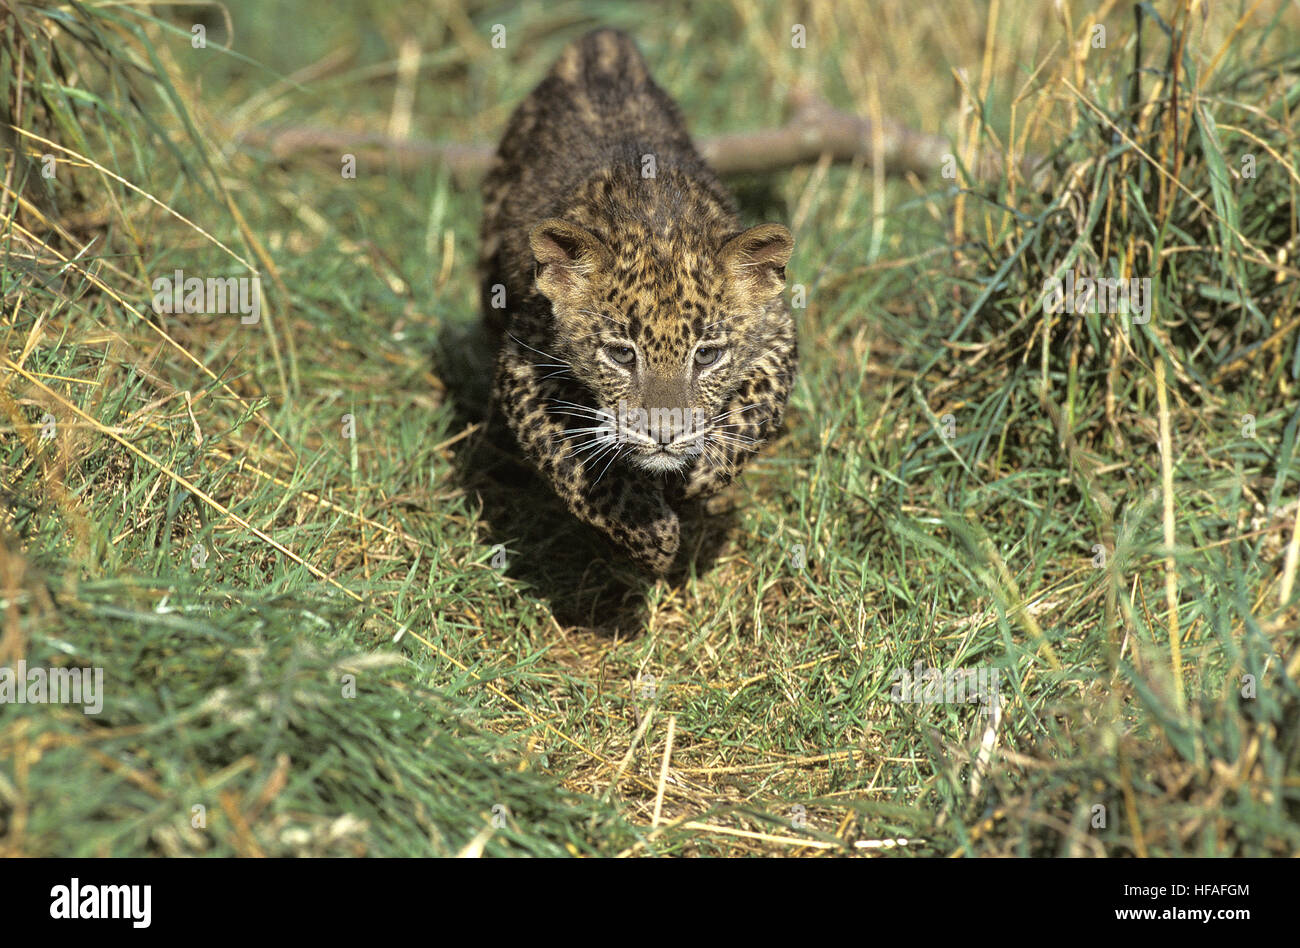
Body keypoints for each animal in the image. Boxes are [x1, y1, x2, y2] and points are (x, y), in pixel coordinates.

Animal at [478, 28, 797, 574]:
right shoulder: (520, 363)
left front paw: (704, 473)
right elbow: (568, 458)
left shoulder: (778, 330)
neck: (656, 223)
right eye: (622, 355)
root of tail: (599, 44)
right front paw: (653, 534)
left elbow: (759, 408)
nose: (664, 435)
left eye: (706, 356)